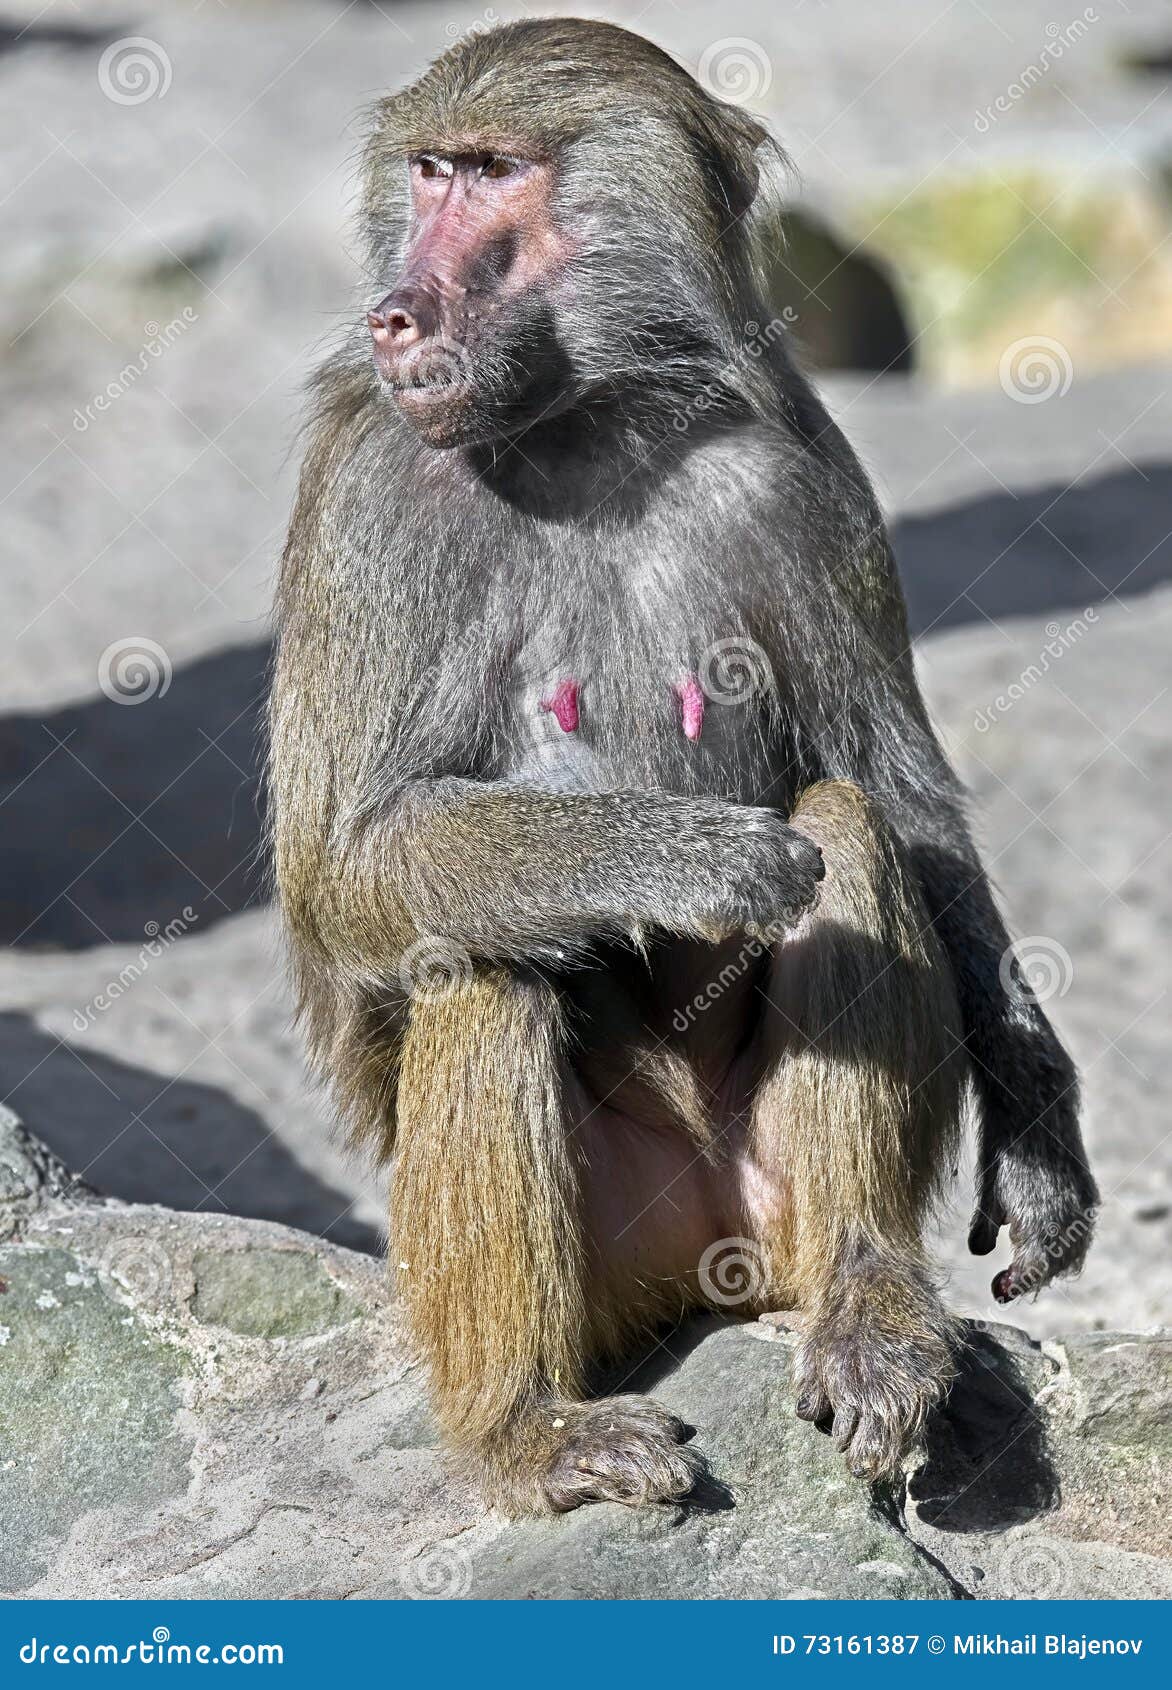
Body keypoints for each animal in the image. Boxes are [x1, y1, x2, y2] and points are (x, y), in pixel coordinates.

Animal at [270, 18, 1097, 1514]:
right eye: (427, 171)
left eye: (494, 173)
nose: (395, 315)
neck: (585, 421)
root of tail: (702, 1267)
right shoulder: (374, 491)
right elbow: (341, 868)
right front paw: (691, 859)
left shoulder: (798, 469)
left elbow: (904, 808)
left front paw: (1040, 1143)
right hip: (599, 1258)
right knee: (481, 961)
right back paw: (529, 1426)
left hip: (764, 1220)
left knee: (851, 834)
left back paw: (868, 1311)